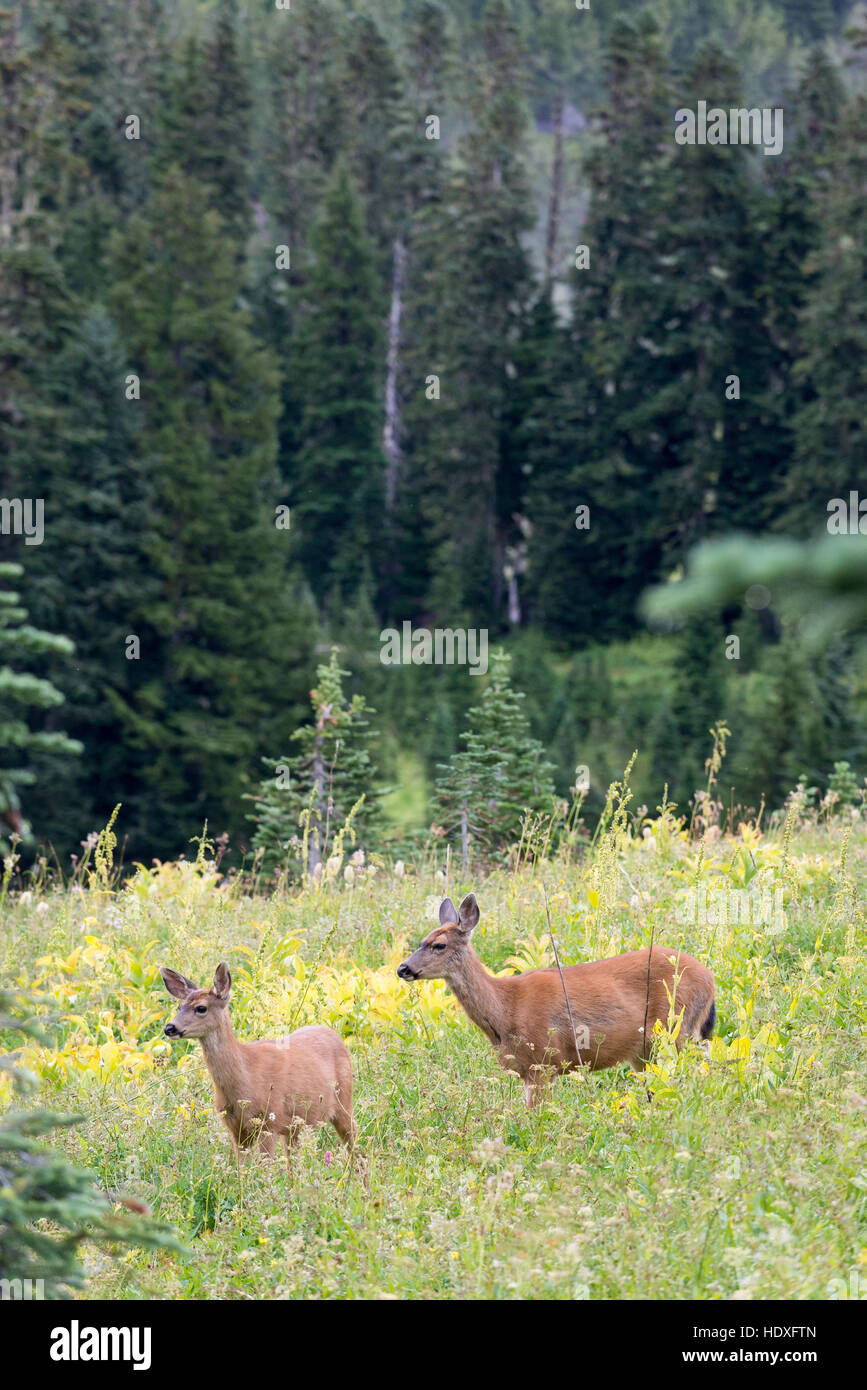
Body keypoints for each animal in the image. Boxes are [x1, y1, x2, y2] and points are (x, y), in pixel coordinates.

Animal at [160, 963, 357, 1167]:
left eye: (201, 1008)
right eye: (179, 1006)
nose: (169, 1028)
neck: (245, 1076)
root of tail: (334, 1035)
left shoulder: (269, 1121)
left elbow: (265, 1167)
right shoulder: (237, 1128)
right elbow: (241, 1169)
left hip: (344, 1101)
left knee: (356, 1146)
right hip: (295, 1126)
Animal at [397, 893, 716, 1109]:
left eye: (439, 945)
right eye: (421, 941)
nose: (403, 968)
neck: (505, 1009)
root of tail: (711, 980)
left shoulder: (544, 1062)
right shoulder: (528, 1071)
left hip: (675, 1031)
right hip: (645, 1051)